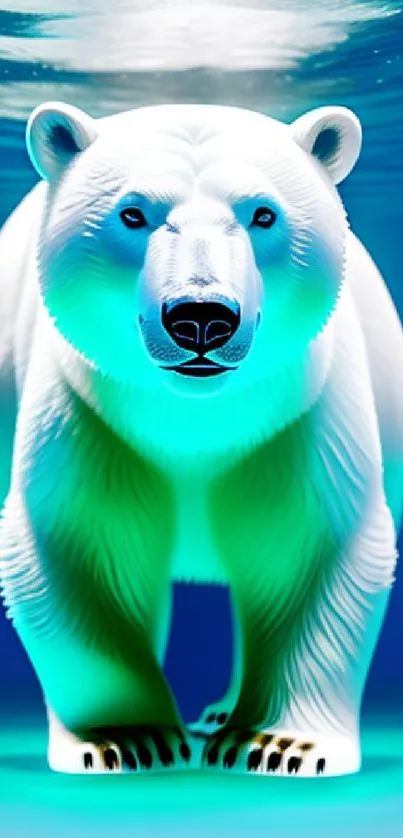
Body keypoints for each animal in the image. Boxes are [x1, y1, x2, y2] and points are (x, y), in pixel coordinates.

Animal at [0, 100, 402, 777]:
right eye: (132, 213)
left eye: (263, 213)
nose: (201, 318)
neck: (196, 421)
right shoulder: (91, 415)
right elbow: (80, 548)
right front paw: (128, 738)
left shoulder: (298, 419)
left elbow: (308, 548)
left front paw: (277, 744)